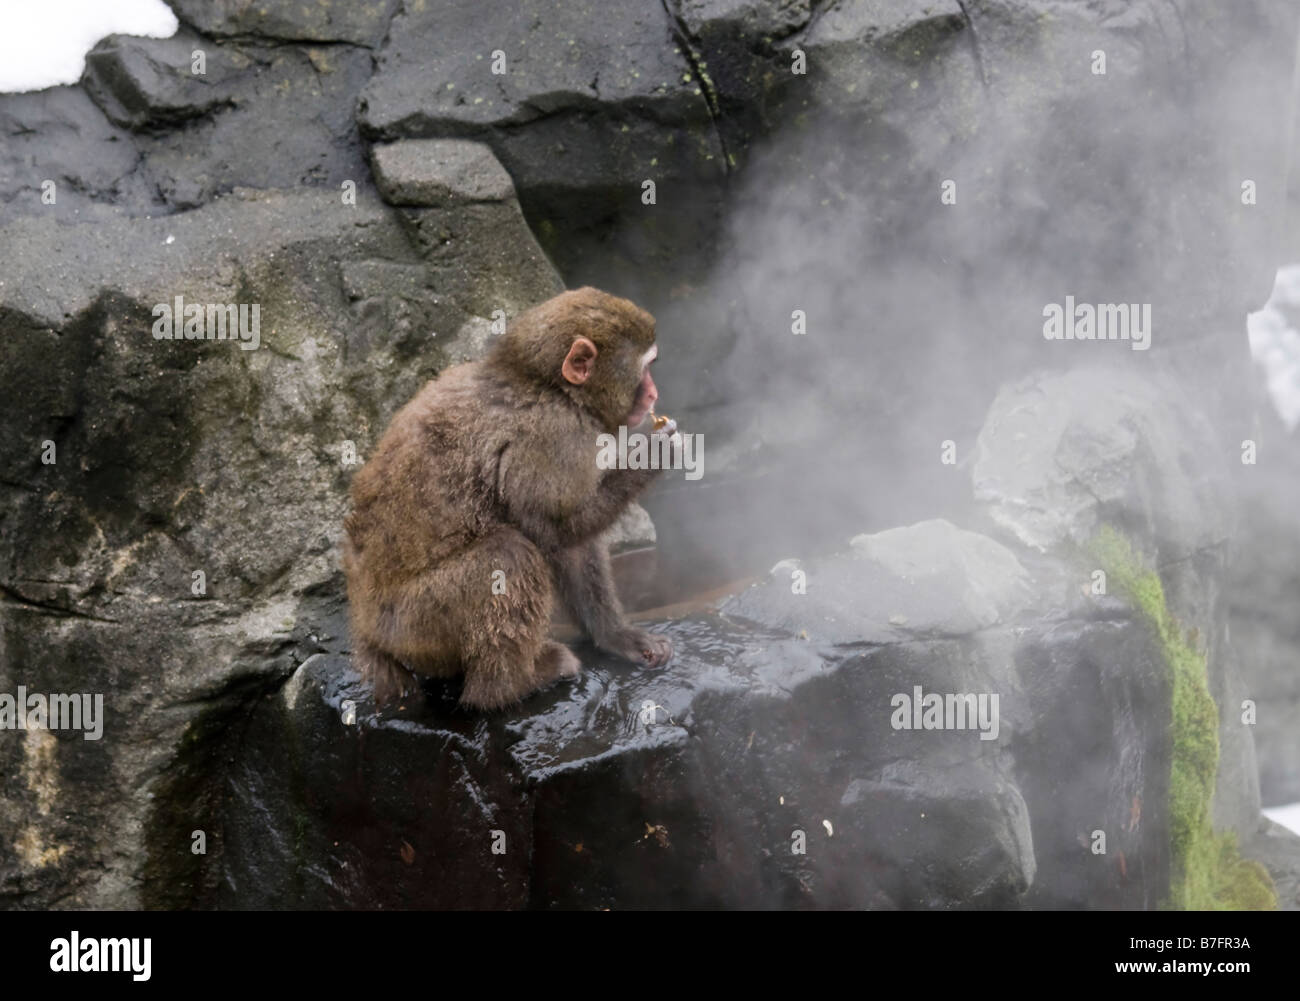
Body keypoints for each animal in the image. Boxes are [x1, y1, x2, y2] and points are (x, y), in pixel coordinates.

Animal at [342, 287, 676, 710]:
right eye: (644, 368)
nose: (654, 393)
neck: (547, 386)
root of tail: (366, 629)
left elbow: (572, 549)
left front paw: (615, 636)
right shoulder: (554, 436)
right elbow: (555, 530)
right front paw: (651, 455)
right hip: (416, 626)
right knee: (509, 555)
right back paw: (510, 686)